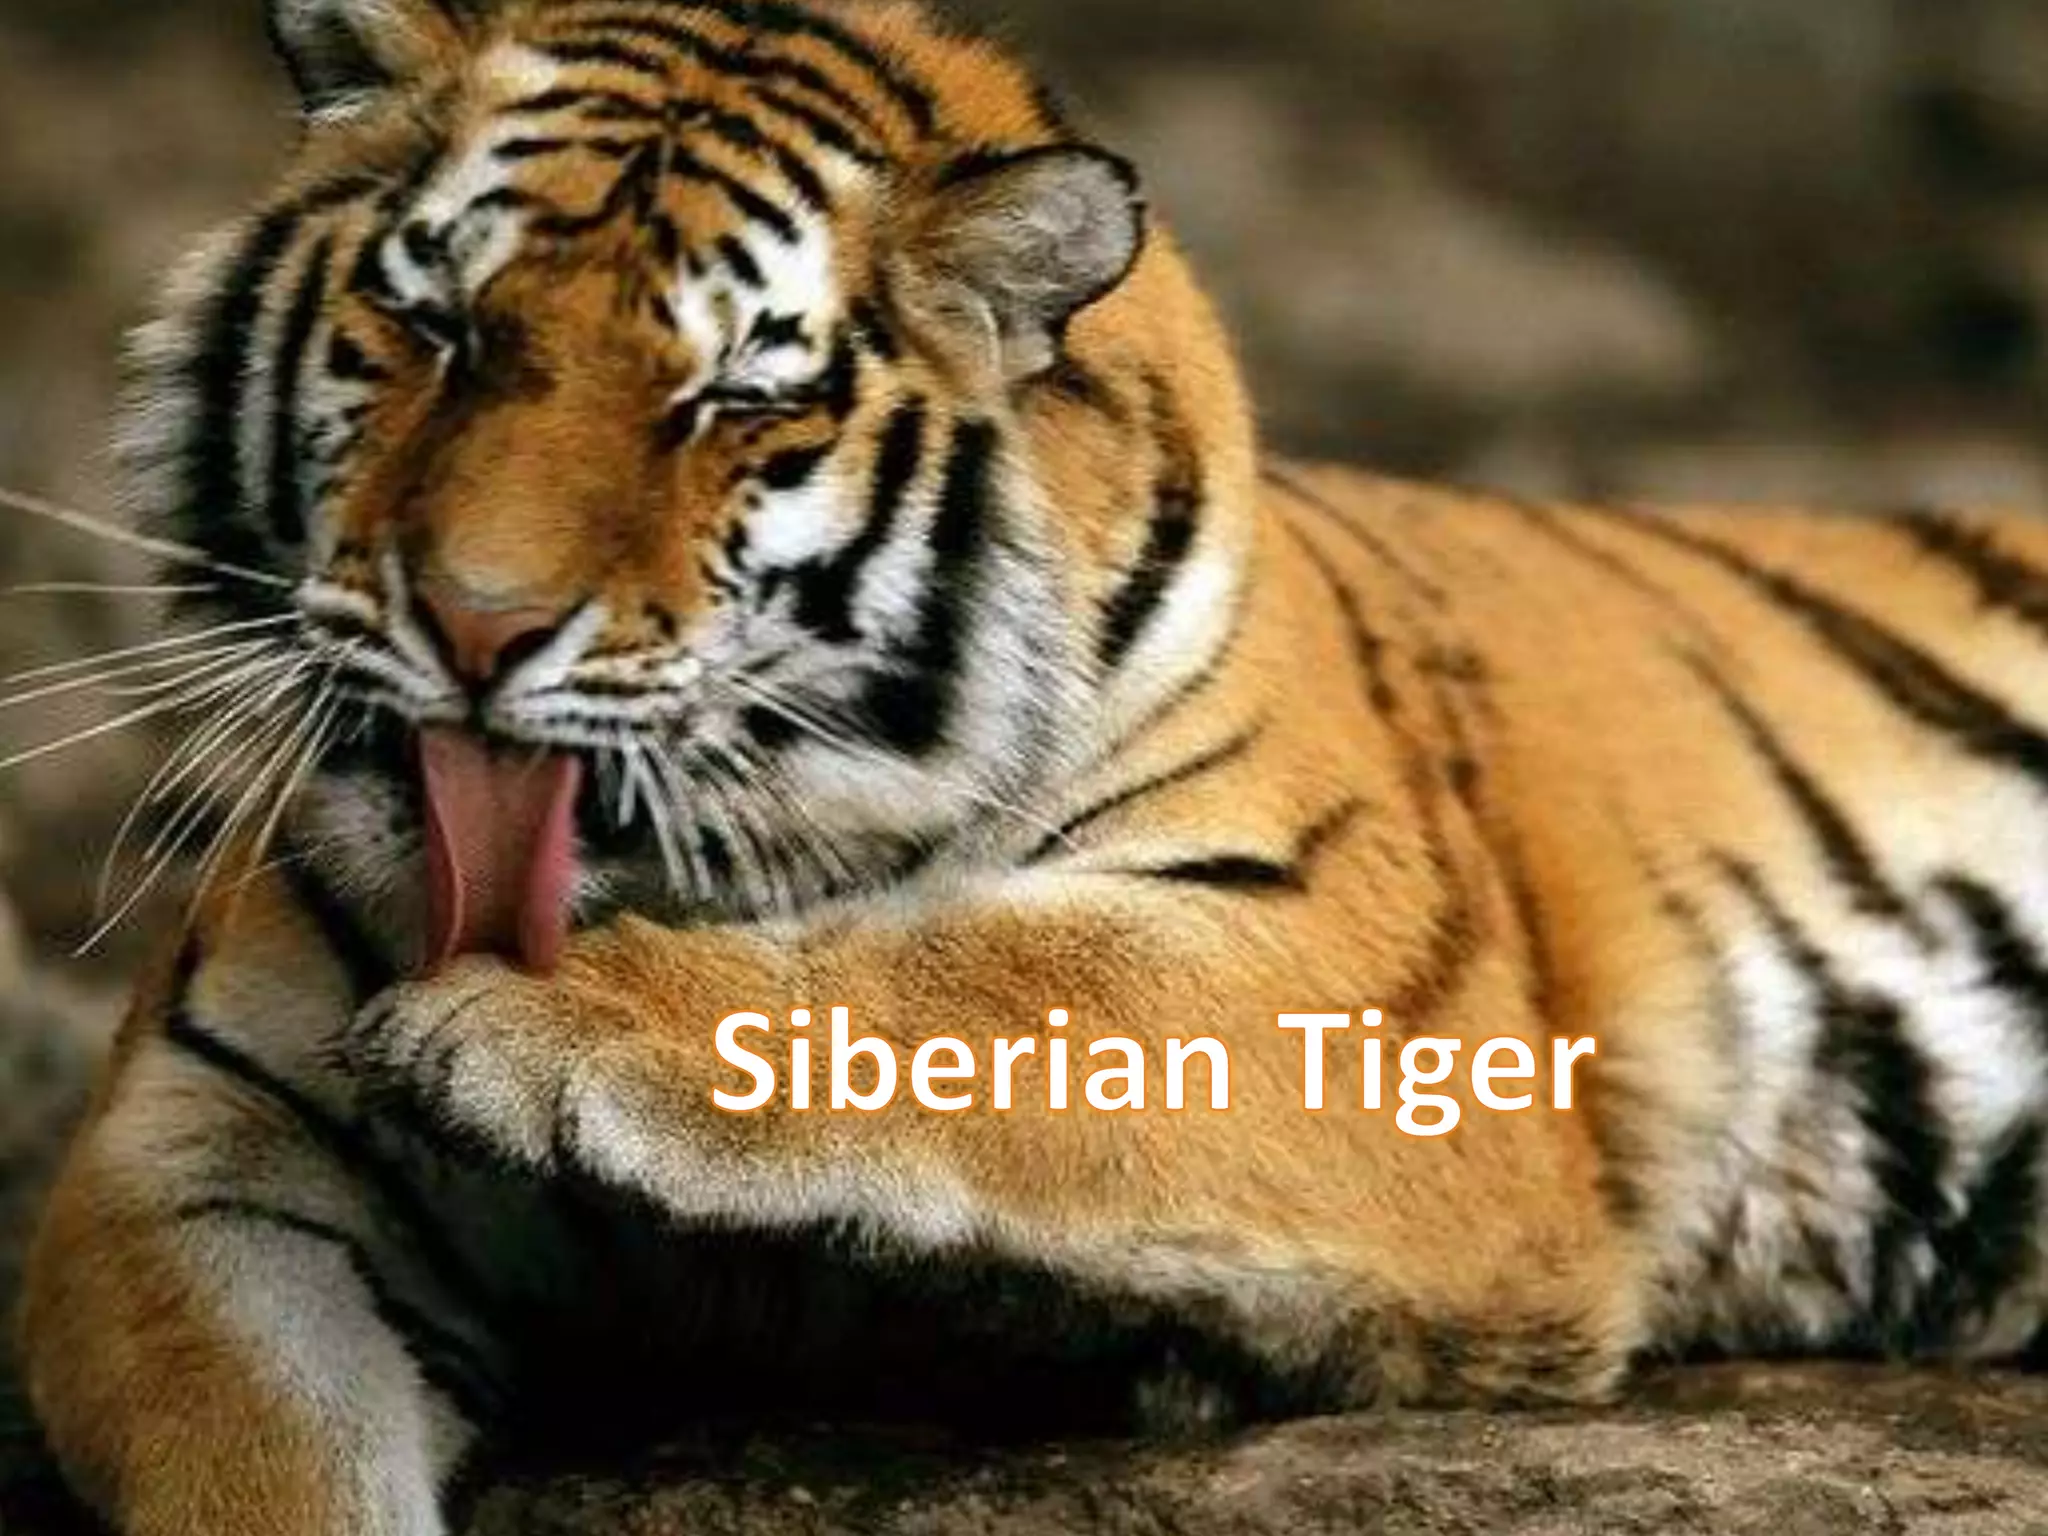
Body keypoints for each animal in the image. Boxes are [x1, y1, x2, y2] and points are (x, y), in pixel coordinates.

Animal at [18, 0, 2048, 1530]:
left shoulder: (1368, 997)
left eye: (730, 400)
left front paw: (538, 1030)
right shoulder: (204, 1164)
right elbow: (259, 1452)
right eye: (435, 328)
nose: (474, 621)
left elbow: (982, 980)